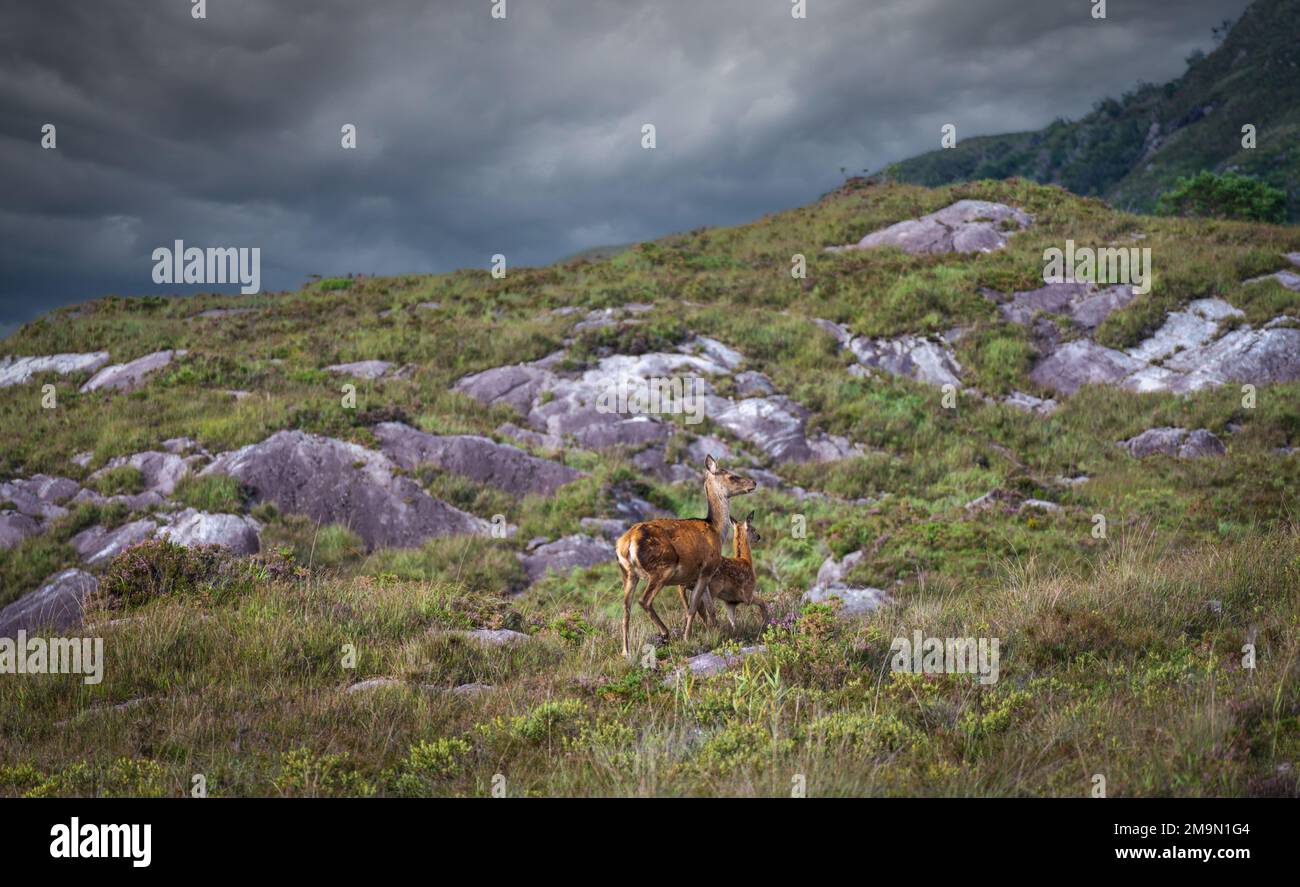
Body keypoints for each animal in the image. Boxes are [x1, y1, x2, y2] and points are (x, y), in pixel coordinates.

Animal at [616, 454, 756, 657]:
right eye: (731, 476)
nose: (753, 482)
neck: (716, 530)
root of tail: (627, 543)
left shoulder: (702, 576)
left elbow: (710, 609)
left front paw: (715, 632)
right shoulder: (707, 568)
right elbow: (693, 607)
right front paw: (687, 638)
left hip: (628, 574)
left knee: (625, 609)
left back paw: (626, 651)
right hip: (661, 569)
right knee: (644, 600)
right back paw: (665, 633)